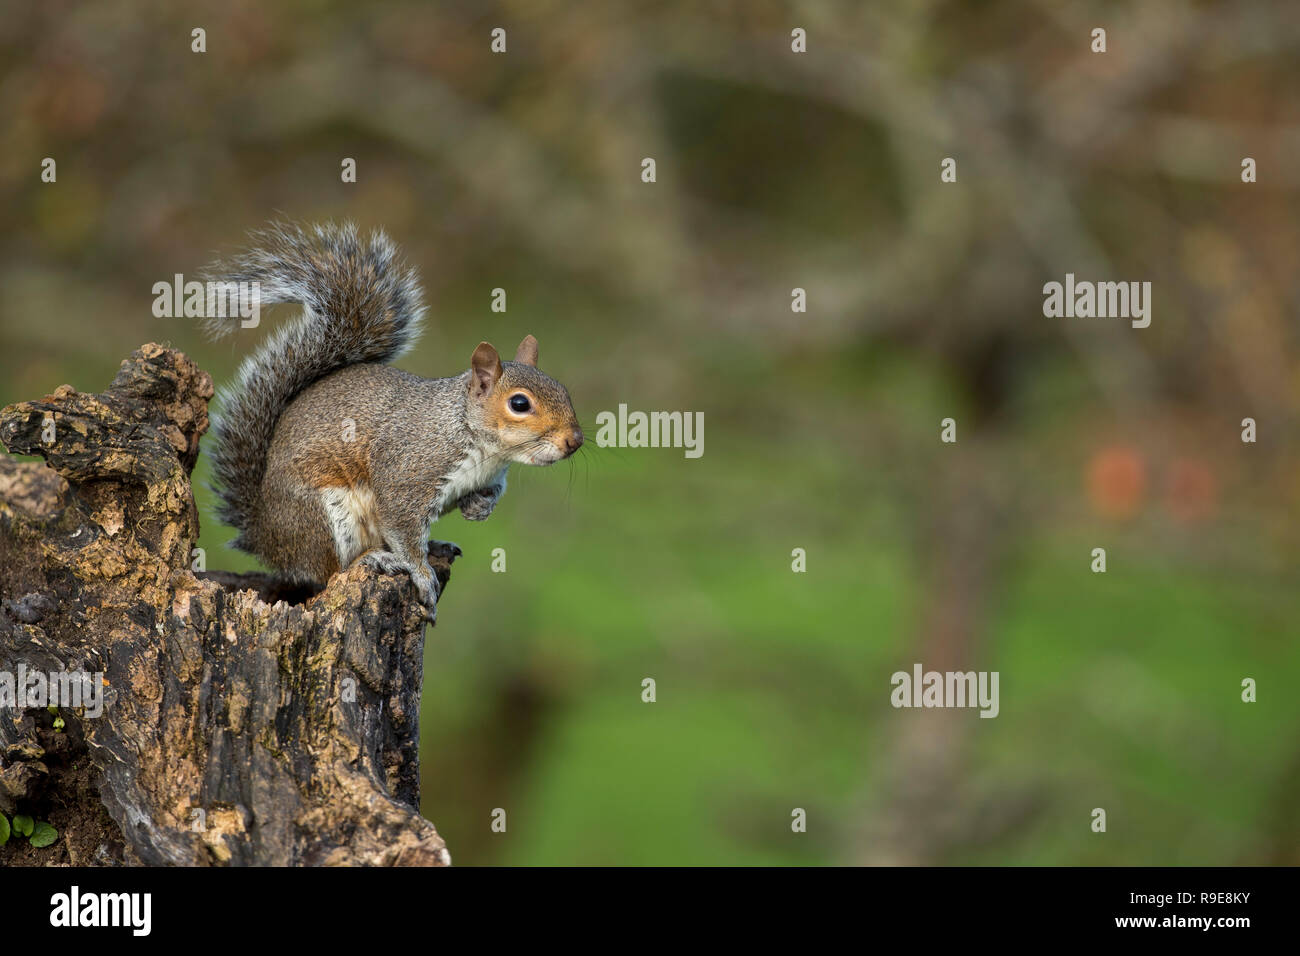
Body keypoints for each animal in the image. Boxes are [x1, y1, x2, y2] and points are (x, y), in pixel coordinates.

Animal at [202, 221, 584, 621]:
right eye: (519, 403)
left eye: (564, 390)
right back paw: (377, 559)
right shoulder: (408, 473)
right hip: (322, 519)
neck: (477, 442)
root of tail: (264, 536)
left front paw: (480, 507)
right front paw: (420, 574)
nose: (575, 439)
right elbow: (402, 527)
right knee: (329, 571)